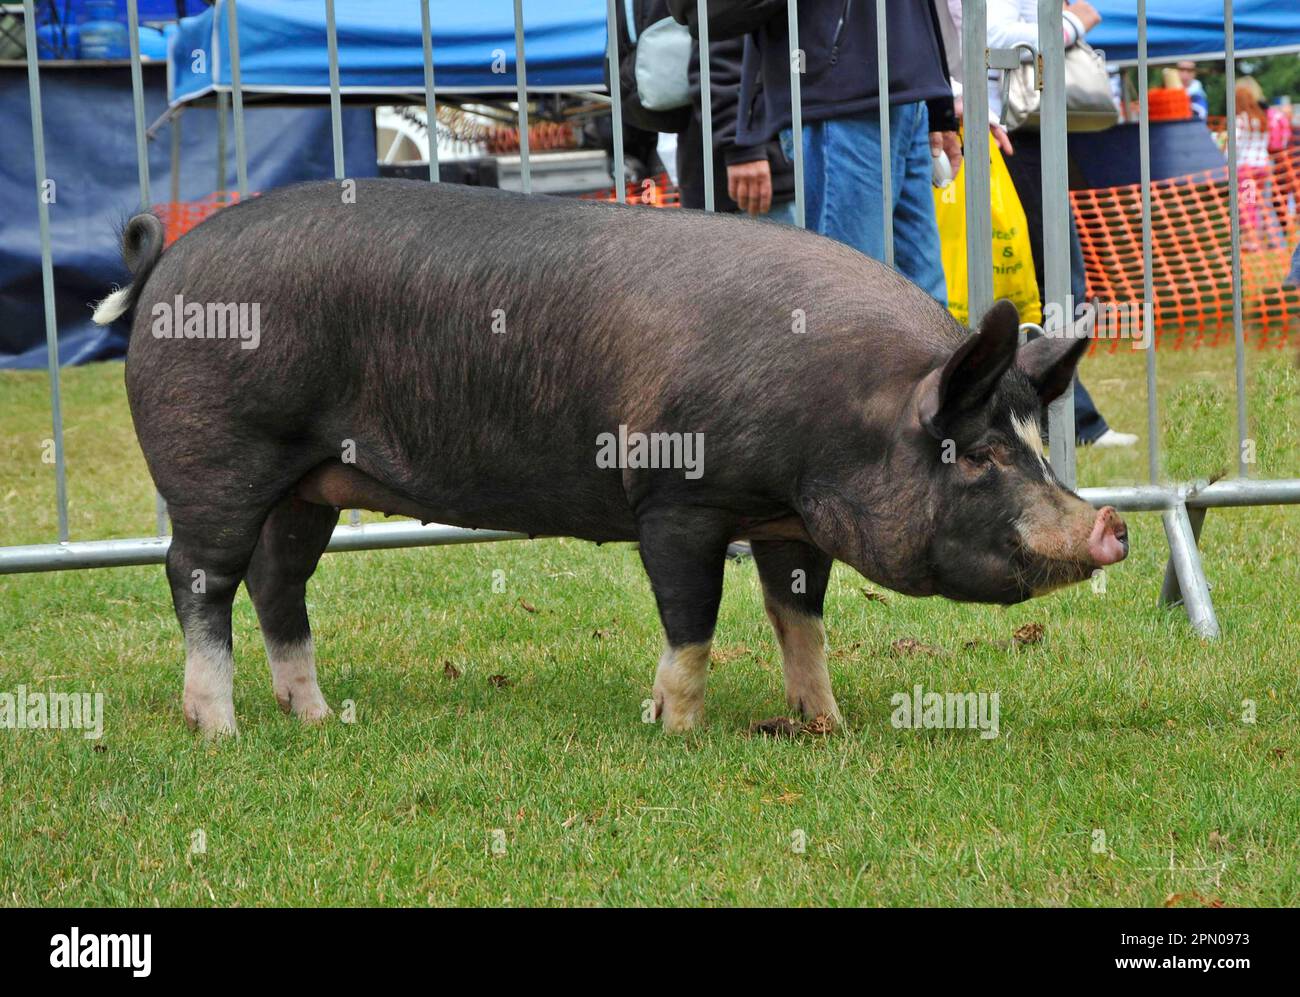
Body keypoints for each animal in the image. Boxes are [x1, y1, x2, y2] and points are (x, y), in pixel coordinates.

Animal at [92, 178, 1127, 737]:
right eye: (978, 454)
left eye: (1038, 442)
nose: (1110, 525)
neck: (840, 416)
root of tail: (165, 262)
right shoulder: (676, 498)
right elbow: (692, 618)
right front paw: (678, 728)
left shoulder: (794, 524)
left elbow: (800, 621)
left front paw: (825, 725)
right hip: (216, 454)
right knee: (199, 575)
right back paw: (220, 730)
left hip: (310, 482)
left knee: (280, 581)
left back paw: (313, 716)